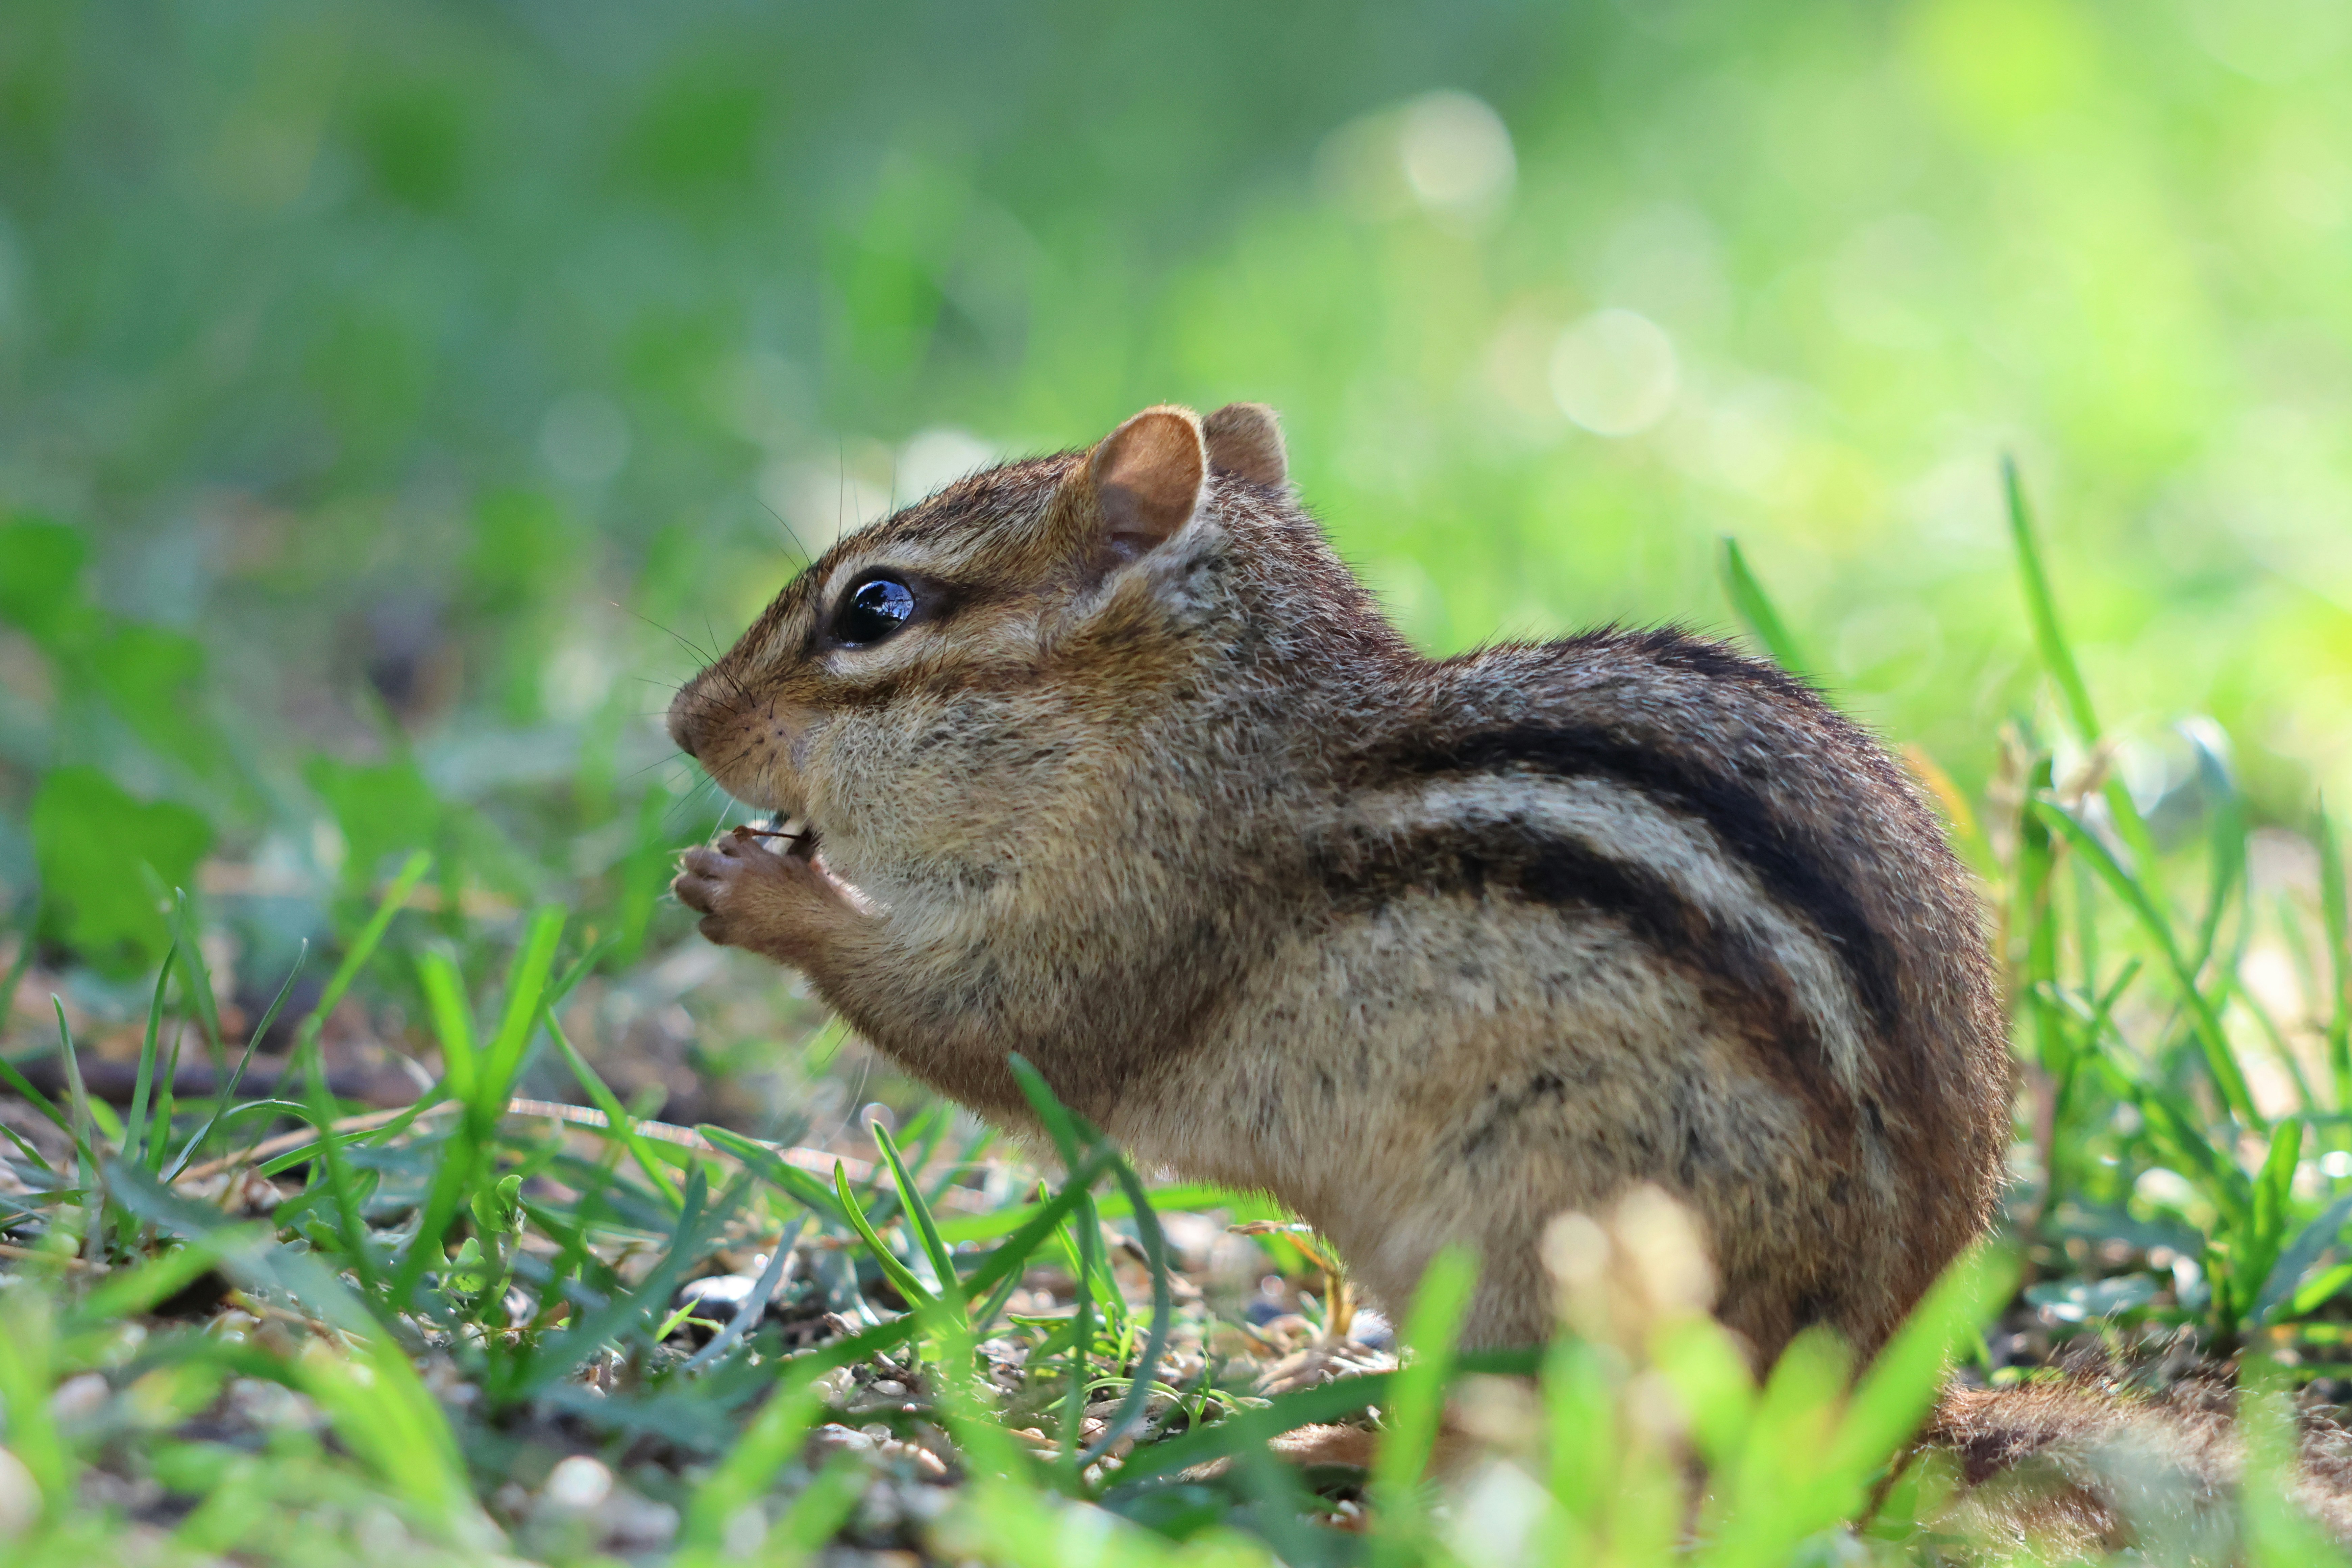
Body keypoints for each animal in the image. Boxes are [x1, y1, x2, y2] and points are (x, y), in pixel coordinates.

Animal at [665, 399, 2009, 1366]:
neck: (1198, 733)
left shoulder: (1135, 917)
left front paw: (754, 895)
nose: (681, 719)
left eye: (874, 606)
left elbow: (988, 1030)